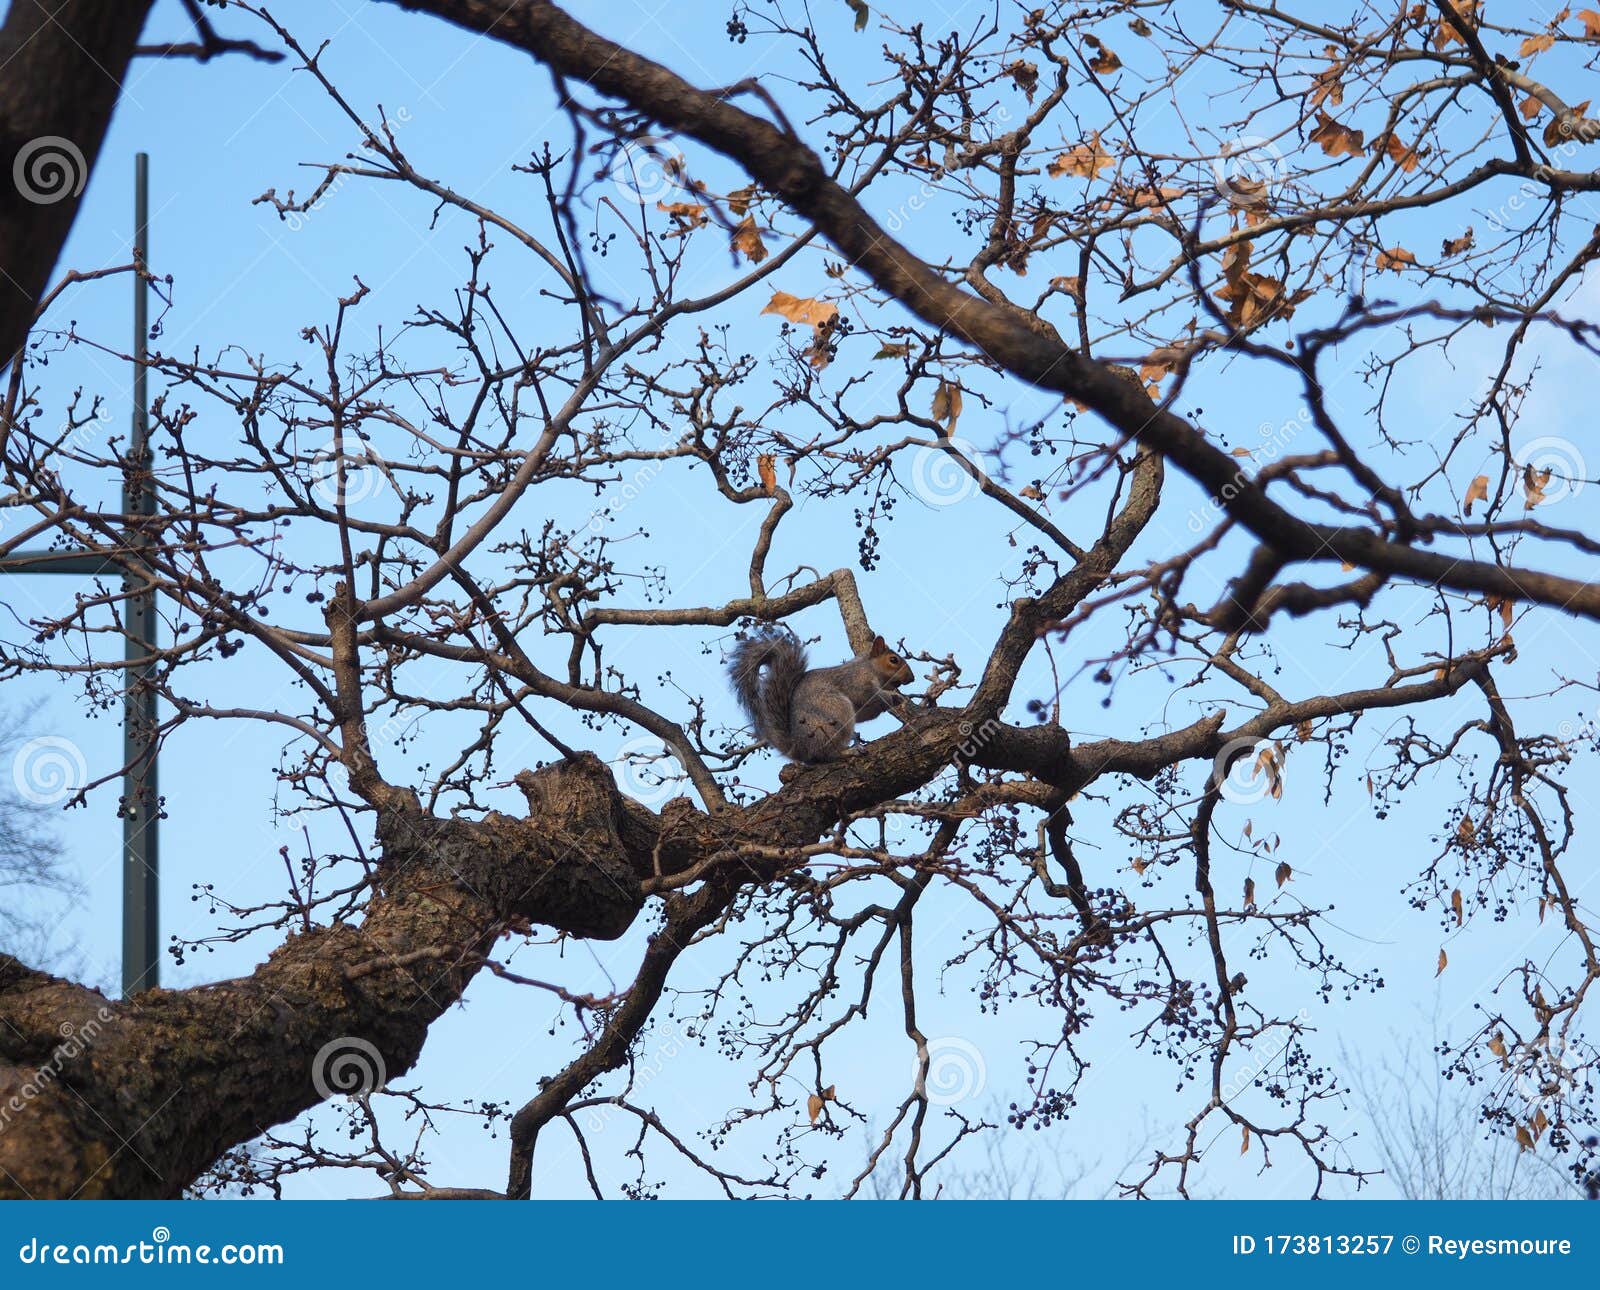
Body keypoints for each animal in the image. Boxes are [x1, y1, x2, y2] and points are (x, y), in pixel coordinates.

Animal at [729, 630, 915, 761]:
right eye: (893, 660)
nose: (912, 678)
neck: (870, 668)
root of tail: (801, 749)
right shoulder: (856, 682)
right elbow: (867, 695)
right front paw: (890, 697)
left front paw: (896, 699)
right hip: (836, 711)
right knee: (828, 754)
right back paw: (849, 751)